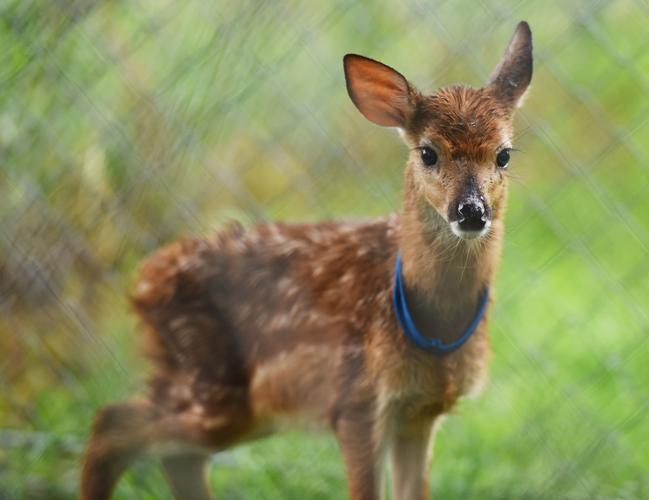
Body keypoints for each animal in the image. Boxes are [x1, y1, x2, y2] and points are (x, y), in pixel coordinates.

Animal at [81, 21, 533, 500]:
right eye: (428, 152)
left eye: (503, 154)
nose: (471, 211)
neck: (431, 327)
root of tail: (144, 282)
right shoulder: (355, 402)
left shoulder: (422, 411)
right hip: (216, 385)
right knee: (114, 423)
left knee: (170, 449)